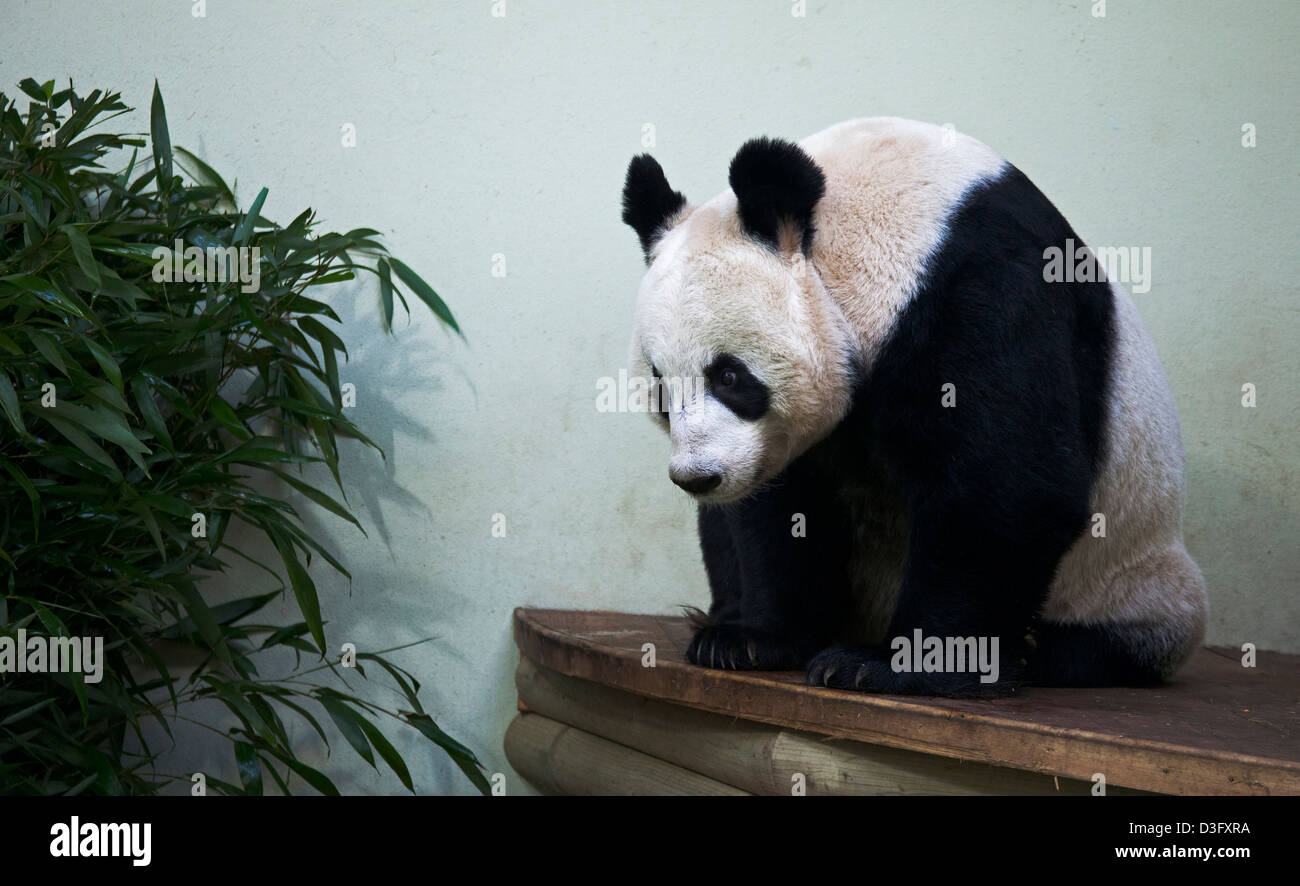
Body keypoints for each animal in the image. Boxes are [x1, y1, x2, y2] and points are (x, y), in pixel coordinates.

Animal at [620, 117, 1208, 696]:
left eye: (728, 376)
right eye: (660, 386)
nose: (698, 477)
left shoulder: (982, 285)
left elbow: (1005, 485)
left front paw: (890, 665)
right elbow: (775, 508)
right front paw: (752, 640)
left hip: (1128, 571)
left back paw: (1037, 653)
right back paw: (717, 621)